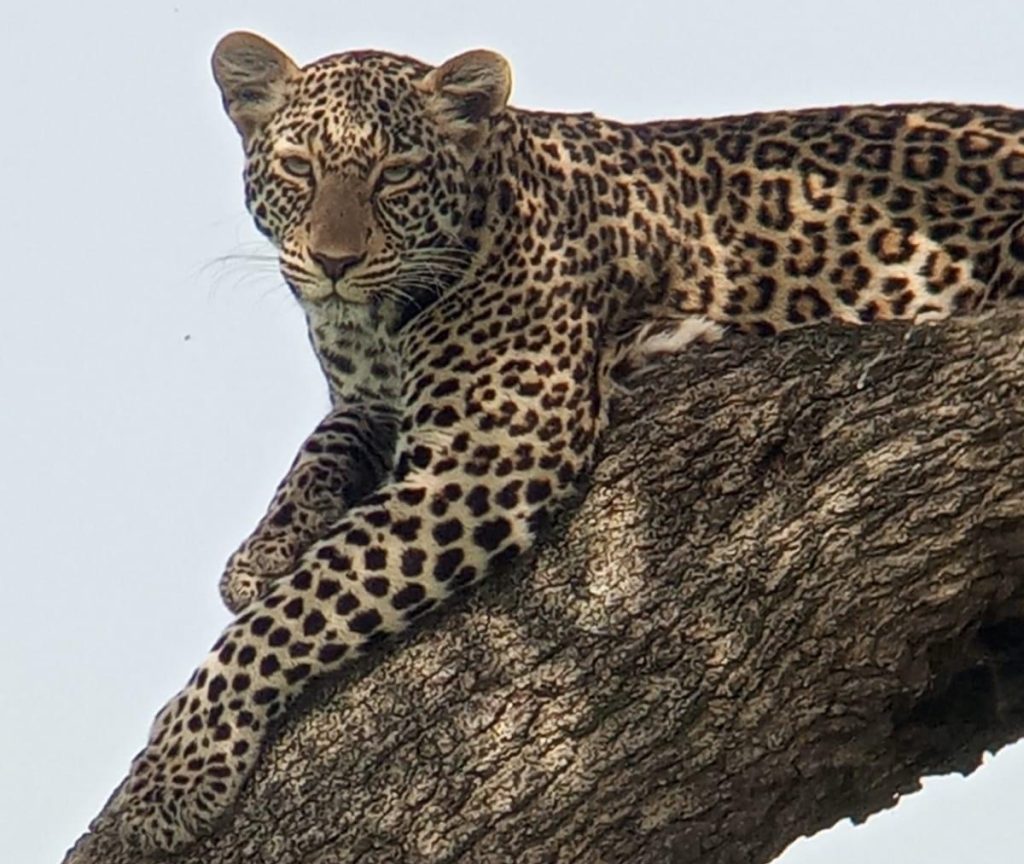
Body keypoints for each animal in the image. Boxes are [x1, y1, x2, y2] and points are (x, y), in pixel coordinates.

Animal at [114, 29, 1024, 852]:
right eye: (300, 167)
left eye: (395, 174)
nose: (334, 262)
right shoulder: (376, 401)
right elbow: (324, 443)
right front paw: (262, 550)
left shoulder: (494, 448)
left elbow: (301, 605)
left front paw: (174, 772)